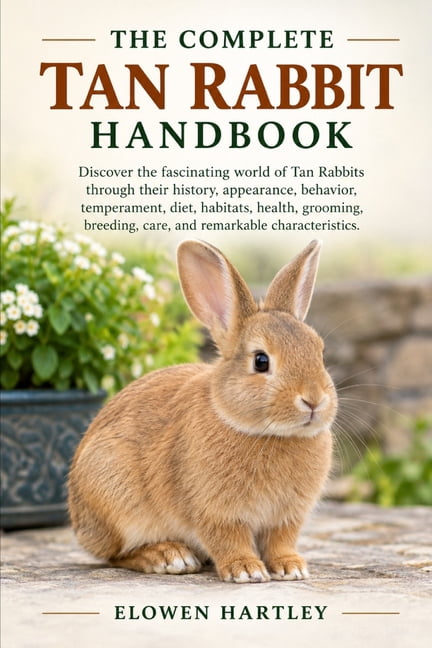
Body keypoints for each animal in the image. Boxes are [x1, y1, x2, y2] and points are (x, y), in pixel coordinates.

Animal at [68, 239, 337, 583]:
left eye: (320, 353)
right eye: (261, 361)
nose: (314, 400)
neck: (267, 433)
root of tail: (80, 523)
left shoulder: (286, 518)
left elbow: (280, 542)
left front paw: (291, 567)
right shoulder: (215, 512)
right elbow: (228, 539)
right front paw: (246, 570)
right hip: (114, 498)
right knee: (116, 555)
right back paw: (169, 557)